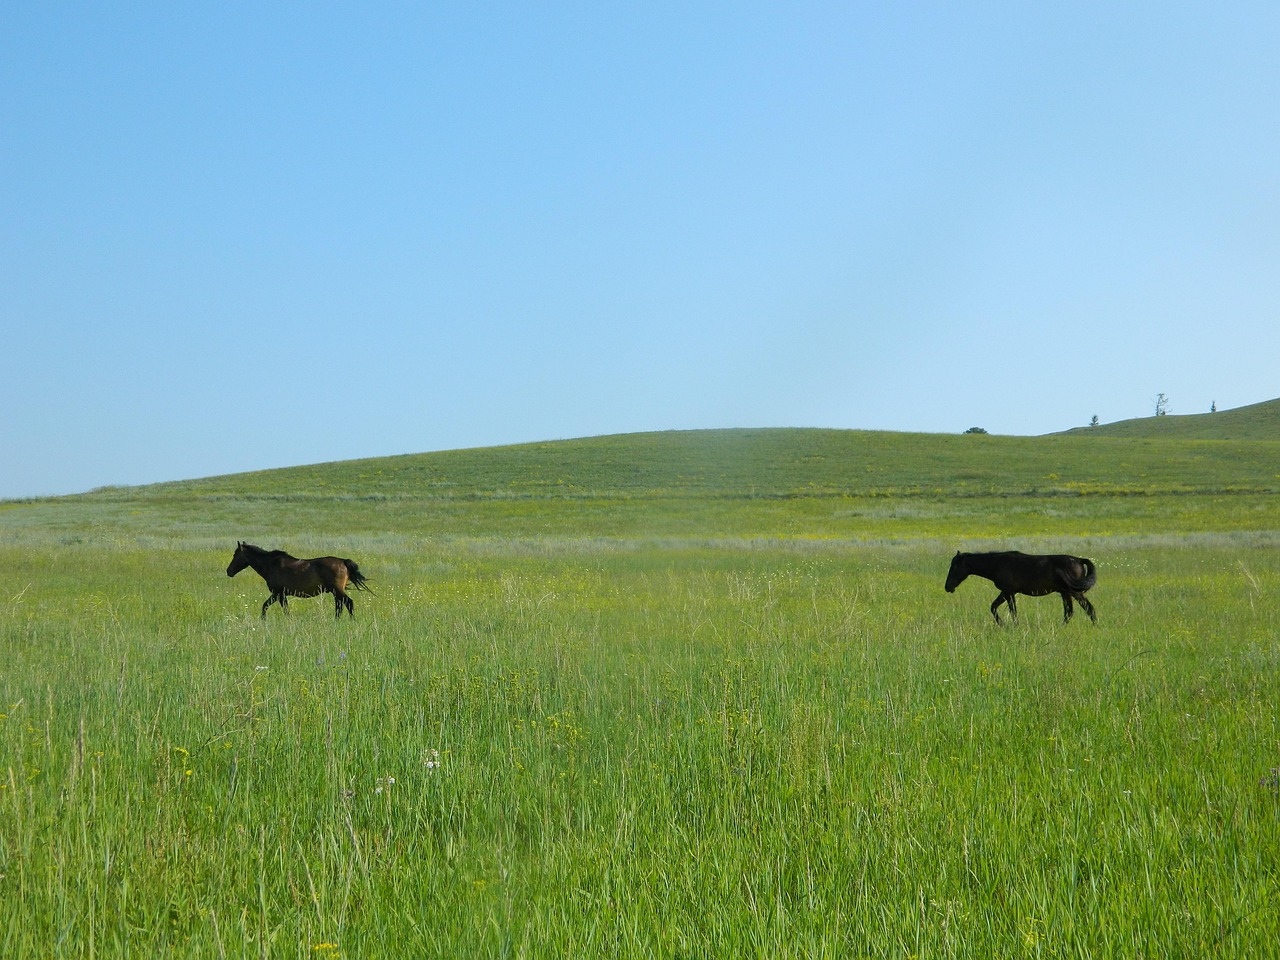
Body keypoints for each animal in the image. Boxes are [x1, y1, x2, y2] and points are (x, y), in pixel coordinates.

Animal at [226, 541, 372, 619]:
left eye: (235, 555)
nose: (229, 571)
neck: (270, 564)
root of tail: (343, 561)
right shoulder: (281, 594)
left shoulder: (278, 593)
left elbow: (270, 607)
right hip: (335, 591)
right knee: (340, 606)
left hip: (337, 590)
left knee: (348, 603)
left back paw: (352, 620)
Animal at [945, 550, 1097, 625]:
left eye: (955, 566)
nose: (947, 587)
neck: (997, 564)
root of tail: (1078, 560)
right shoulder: (1007, 592)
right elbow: (994, 607)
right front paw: (1003, 624)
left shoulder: (1008, 591)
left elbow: (1011, 611)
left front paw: (1008, 624)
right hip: (1066, 593)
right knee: (1070, 612)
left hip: (1073, 592)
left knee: (1086, 608)